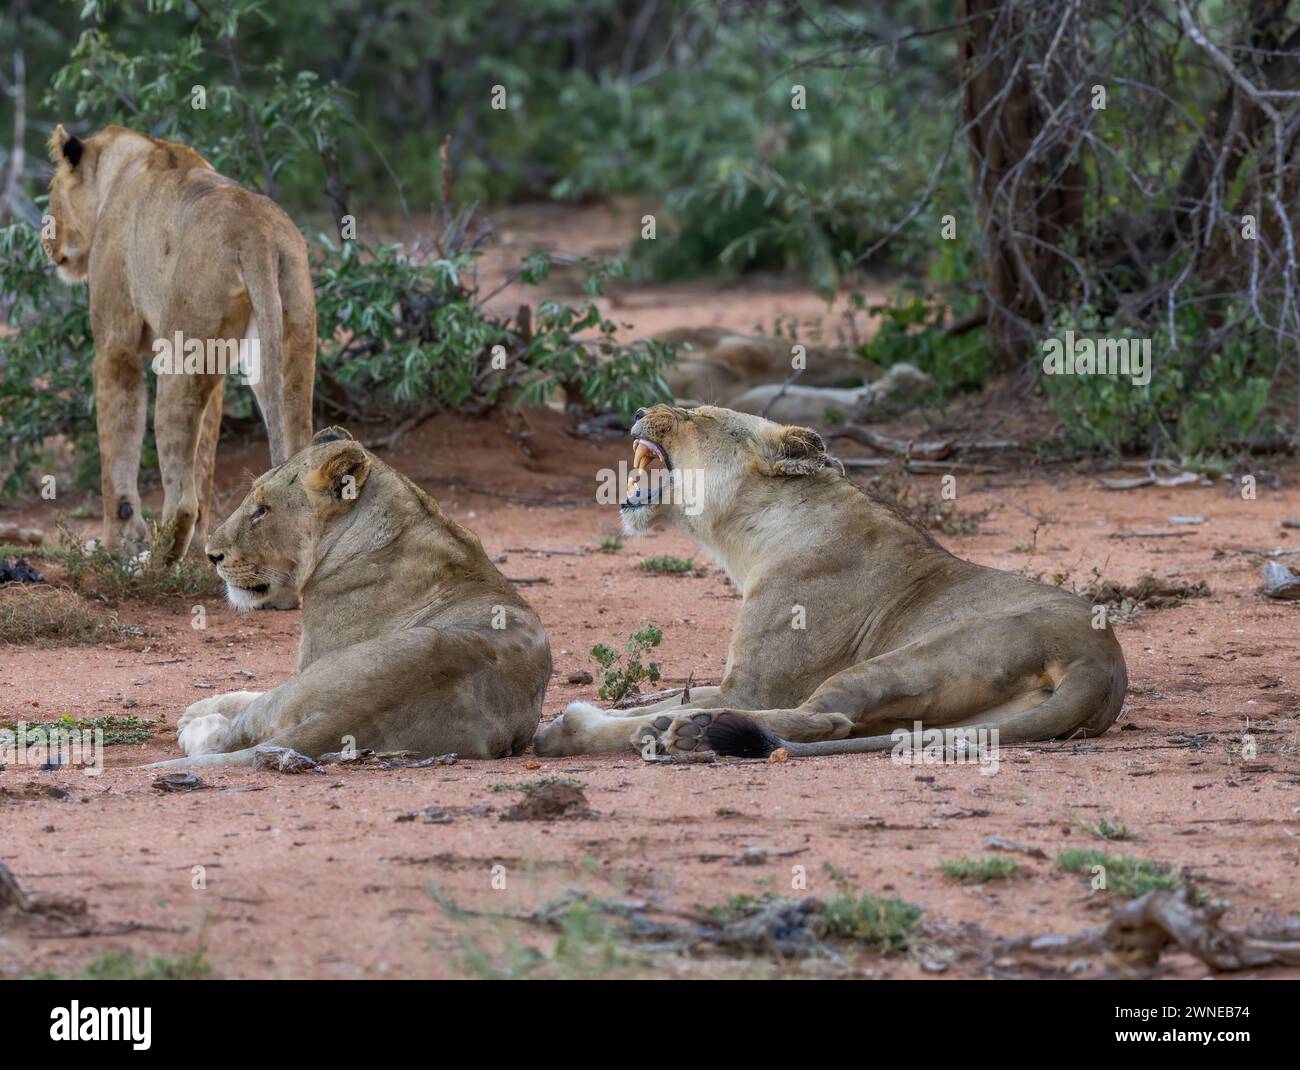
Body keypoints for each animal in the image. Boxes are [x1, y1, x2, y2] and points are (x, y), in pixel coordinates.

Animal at [44, 124, 316, 564]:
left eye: (51, 190)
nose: (45, 239)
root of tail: (255, 231)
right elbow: (204, 455)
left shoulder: (114, 344)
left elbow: (116, 449)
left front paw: (115, 545)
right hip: (288, 345)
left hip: (178, 363)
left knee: (183, 498)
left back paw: (146, 567)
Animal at [147, 428, 552, 768]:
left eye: (263, 510)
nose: (211, 555)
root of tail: (345, 714)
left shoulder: (310, 659)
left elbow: (250, 696)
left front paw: (197, 710)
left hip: (307, 682)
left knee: (247, 723)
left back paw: (197, 729)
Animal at [532, 404, 1127, 759]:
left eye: (696, 414)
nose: (636, 411)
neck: (747, 536)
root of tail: (1103, 662)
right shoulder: (732, 682)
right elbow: (669, 695)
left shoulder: (753, 687)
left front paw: (577, 723)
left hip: (915, 655)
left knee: (827, 718)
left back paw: (665, 732)